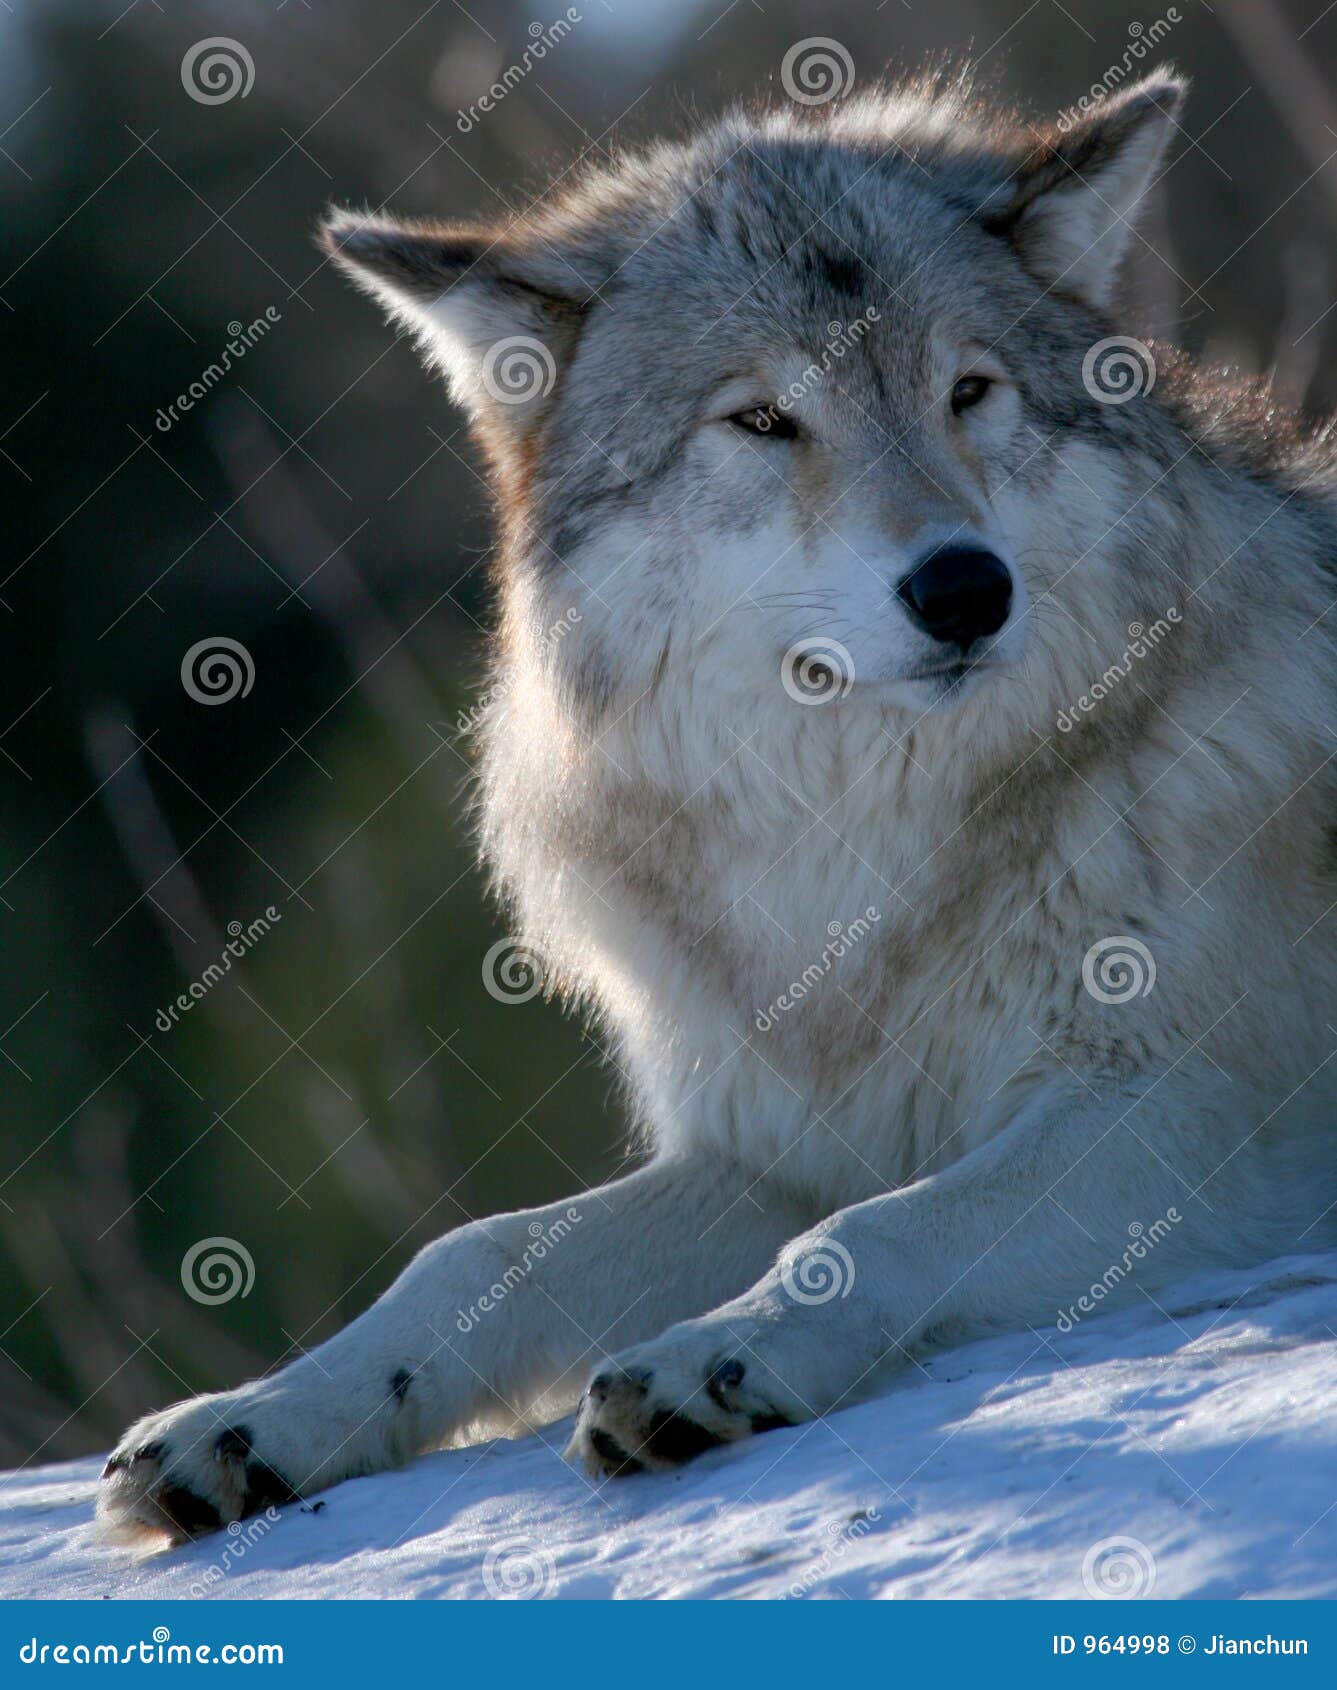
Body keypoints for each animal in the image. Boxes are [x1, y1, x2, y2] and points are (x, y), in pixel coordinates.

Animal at [101, 67, 1337, 1541]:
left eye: (968, 392)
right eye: (761, 421)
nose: (965, 588)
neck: (860, 852)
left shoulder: (1196, 1116)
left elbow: (869, 1232)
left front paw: (716, 1356)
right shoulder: (778, 1145)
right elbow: (477, 1255)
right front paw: (258, 1415)